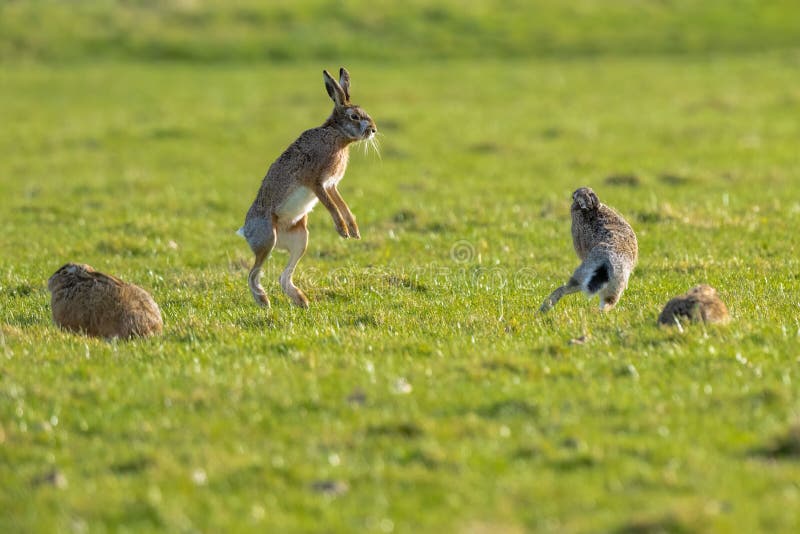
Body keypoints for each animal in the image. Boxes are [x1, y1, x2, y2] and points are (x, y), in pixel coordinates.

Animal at [238, 67, 377, 308]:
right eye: (355, 117)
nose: (374, 130)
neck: (337, 135)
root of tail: (246, 231)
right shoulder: (316, 182)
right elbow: (331, 206)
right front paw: (343, 231)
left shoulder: (331, 185)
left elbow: (342, 205)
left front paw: (354, 231)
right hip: (267, 237)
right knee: (252, 274)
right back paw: (264, 301)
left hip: (301, 239)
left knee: (283, 276)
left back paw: (301, 301)